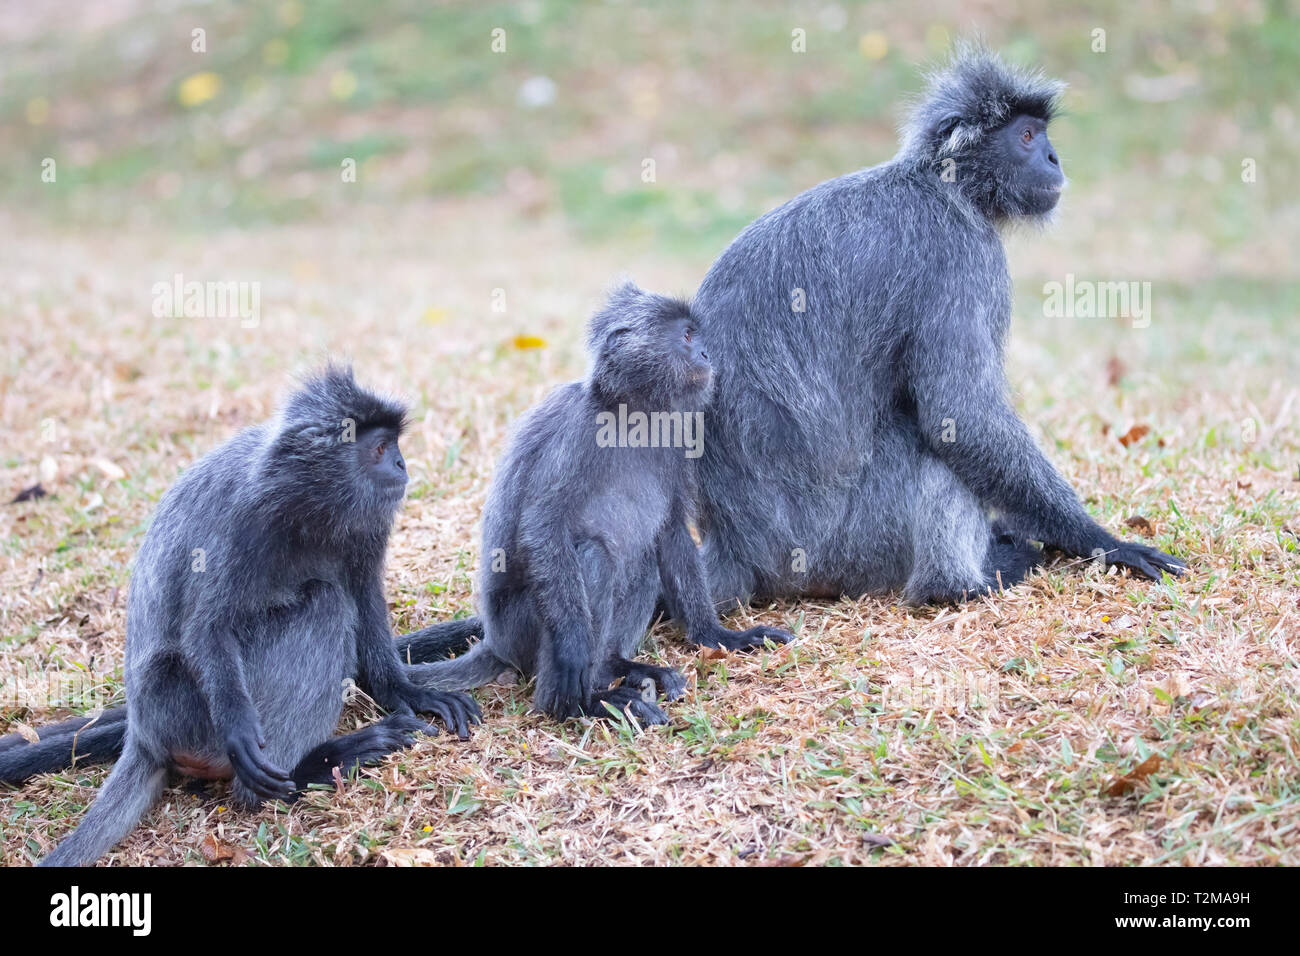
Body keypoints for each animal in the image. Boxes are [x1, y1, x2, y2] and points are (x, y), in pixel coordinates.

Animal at [10, 366, 480, 866]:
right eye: (379, 449)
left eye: (394, 445)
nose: (401, 465)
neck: (304, 505)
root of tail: (144, 731)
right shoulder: (243, 518)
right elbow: (207, 626)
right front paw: (240, 727)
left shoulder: (364, 526)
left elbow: (365, 594)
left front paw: (407, 691)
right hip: (183, 707)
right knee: (326, 603)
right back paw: (311, 767)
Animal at [403, 282, 793, 725]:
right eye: (688, 336)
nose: (708, 355)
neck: (631, 419)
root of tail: (496, 642)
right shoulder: (577, 432)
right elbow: (544, 527)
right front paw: (575, 657)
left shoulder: (673, 438)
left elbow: (672, 532)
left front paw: (719, 636)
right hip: (520, 626)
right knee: (596, 556)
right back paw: (579, 703)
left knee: (643, 559)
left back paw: (614, 668)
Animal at [663, 45, 1185, 609]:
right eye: (1027, 136)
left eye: (1041, 134)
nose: (1054, 158)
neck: (940, 184)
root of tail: (735, 542)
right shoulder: (961, 254)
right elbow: (961, 415)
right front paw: (1099, 540)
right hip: (838, 544)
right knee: (933, 454)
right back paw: (961, 584)